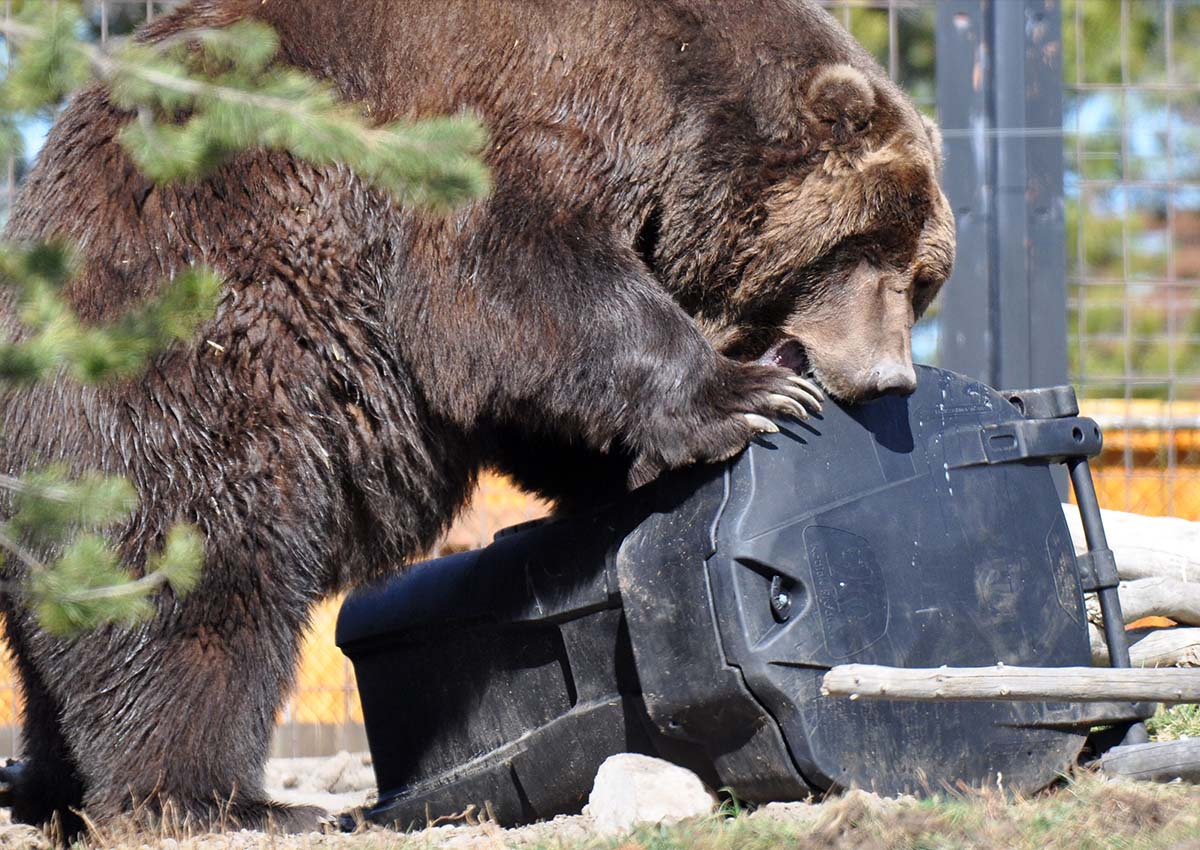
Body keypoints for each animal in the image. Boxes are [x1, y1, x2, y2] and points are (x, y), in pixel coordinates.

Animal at [0, 0, 953, 834]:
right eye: (869, 251)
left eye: (924, 276)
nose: (891, 381)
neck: (676, 110)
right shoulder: (501, 121)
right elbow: (511, 287)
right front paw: (748, 393)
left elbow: (517, 401)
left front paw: (642, 457)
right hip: (189, 370)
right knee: (201, 584)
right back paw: (227, 801)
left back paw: (53, 788)